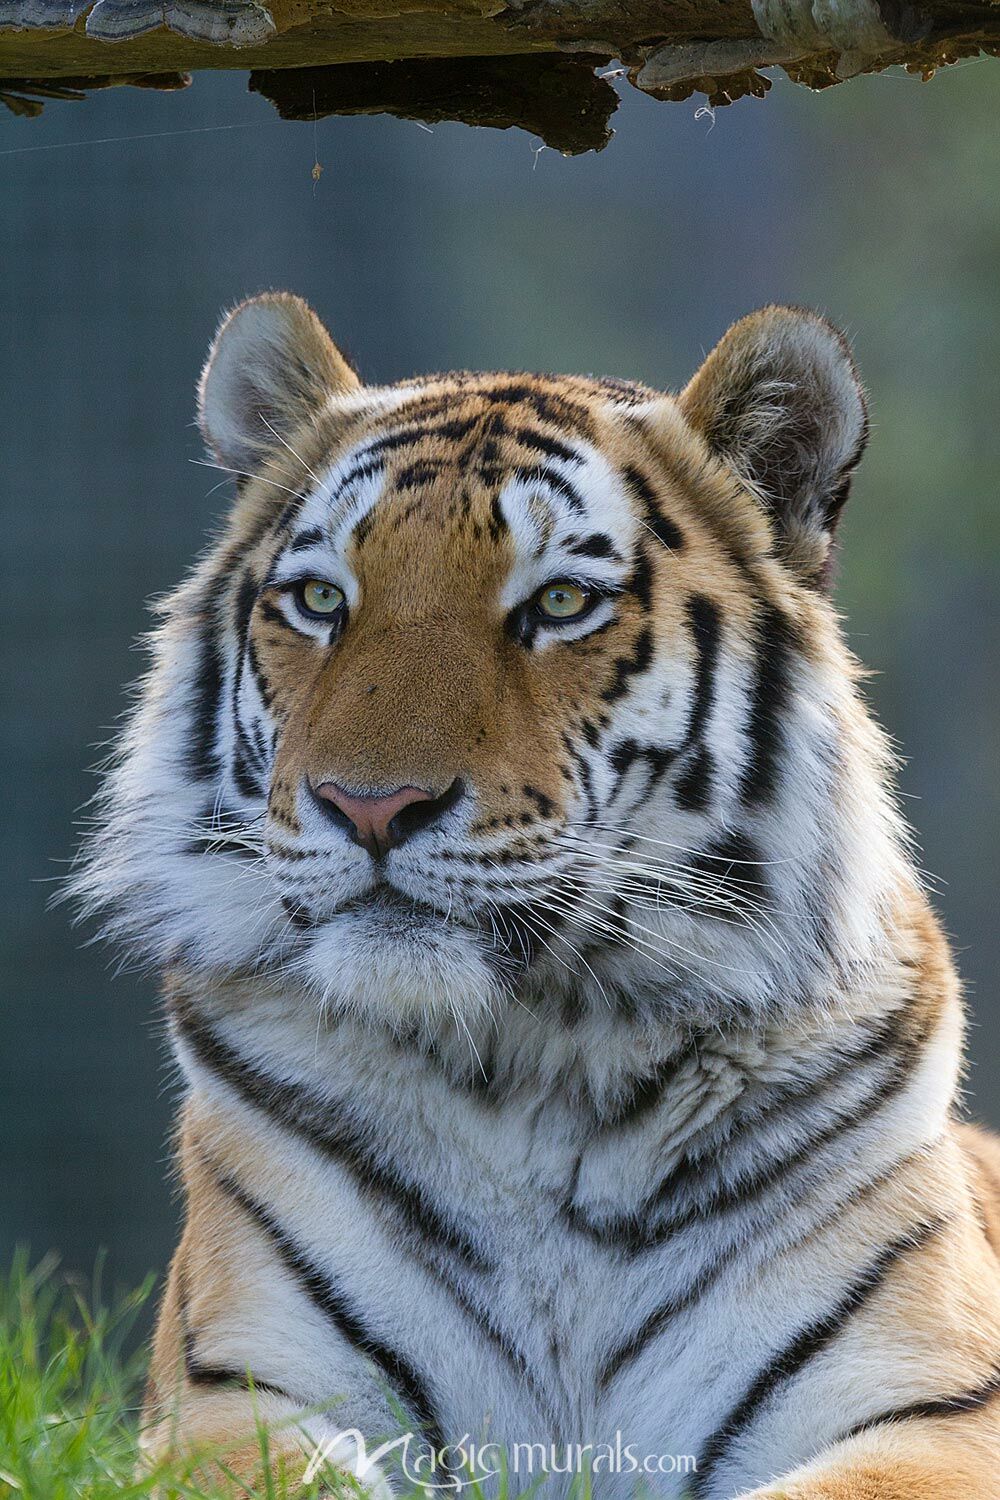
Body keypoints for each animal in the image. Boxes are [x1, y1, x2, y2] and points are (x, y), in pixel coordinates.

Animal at [74, 292, 1000, 1499]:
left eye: (559, 602)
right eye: (320, 600)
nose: (371, 806)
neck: (538, 1064)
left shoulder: (930, 1408)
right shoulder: (238, 1400)